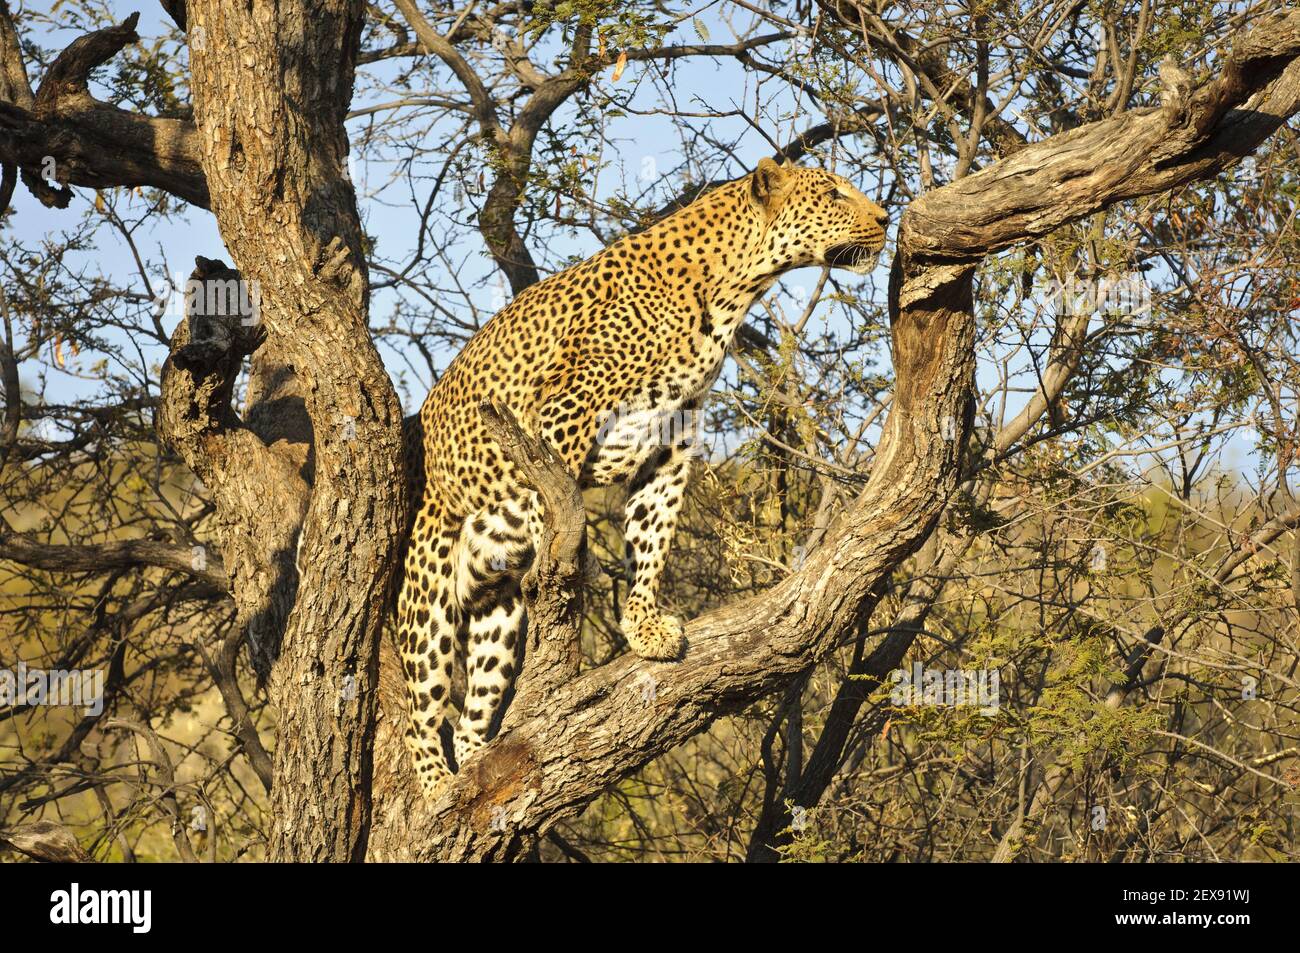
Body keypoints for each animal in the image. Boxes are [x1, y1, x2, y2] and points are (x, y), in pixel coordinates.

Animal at [396, 157, 889, 798]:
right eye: (833, 194)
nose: (886, 218)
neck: (732, 290)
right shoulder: (561, 413)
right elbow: (553, 502)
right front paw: (562, 569)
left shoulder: (670, 442)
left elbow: (652, 536)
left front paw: (644, 624)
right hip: (428, 593)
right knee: (421, 709)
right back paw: (436, 785)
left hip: (496, 613)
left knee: (472, 718)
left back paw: (480, 775)